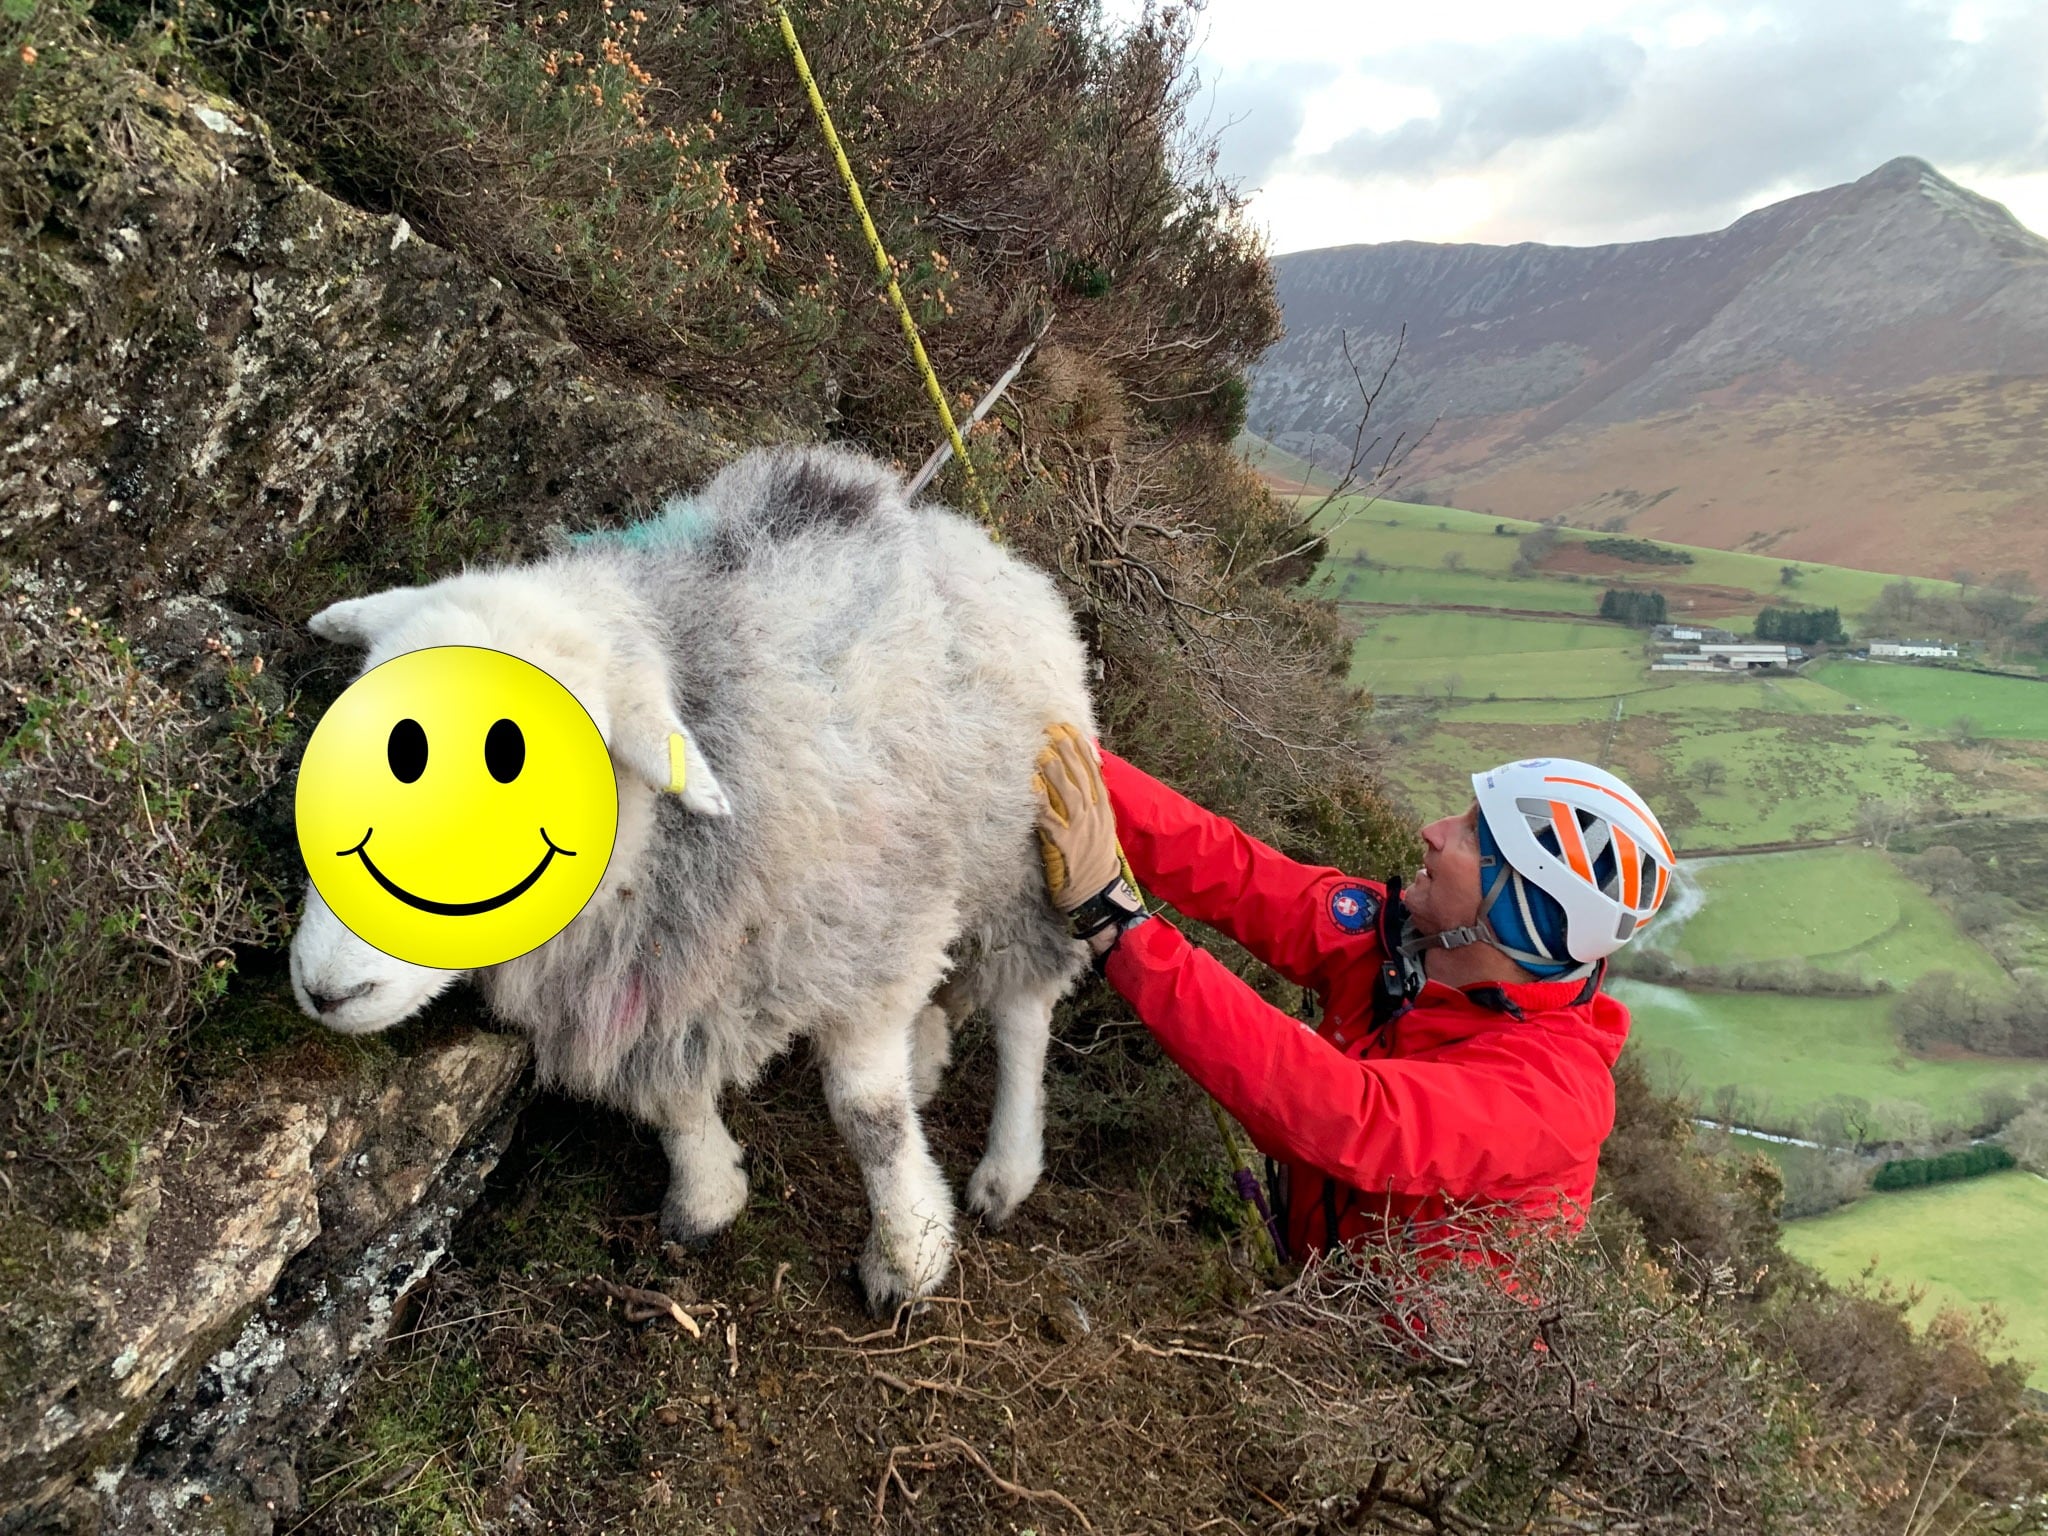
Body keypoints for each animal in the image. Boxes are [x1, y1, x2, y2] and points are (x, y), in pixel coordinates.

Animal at [288, 444, 1093, 1311]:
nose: (326, 992)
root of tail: (967, 536)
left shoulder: (865, 933)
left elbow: (868, 1115)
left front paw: (908, 1254)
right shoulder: (652, 966)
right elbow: (666, 1087)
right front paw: (709, 1192)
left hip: (1019, 862)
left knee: (1023, 1011)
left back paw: (1006, 1168)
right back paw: (930, 1051)